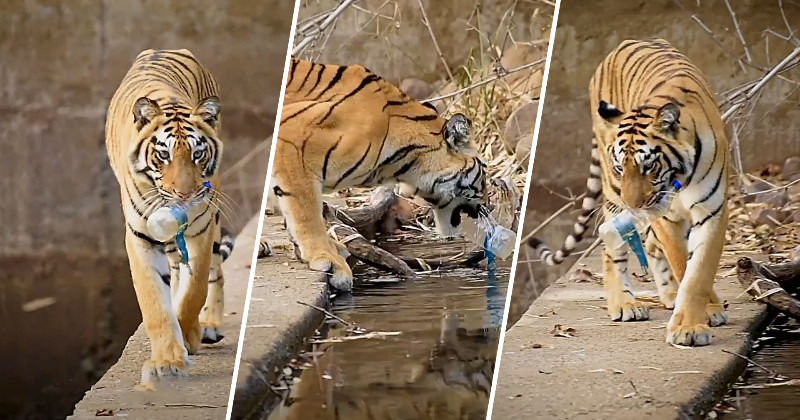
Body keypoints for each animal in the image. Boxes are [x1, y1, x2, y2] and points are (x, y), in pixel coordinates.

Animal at [105, 49, 234, 381]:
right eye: (163, 155)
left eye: (197, 154)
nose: (185, 195)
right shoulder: (140, 237)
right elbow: (154, 301)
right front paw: (167, 360)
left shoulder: (201, 230)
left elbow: (195, 289)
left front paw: (188, 336)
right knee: (176, 270)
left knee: (214, 272)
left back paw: (210, 325)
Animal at [528, 39, 729, 346]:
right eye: (621, 167)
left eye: (649, 166)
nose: (634, 204)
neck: (680, 177)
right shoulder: (664, 216)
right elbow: (683, 263)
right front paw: (692, 324)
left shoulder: (711, 210)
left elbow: (699, 272)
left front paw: (694, 321)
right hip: (612, 197)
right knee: (612, 247)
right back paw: (625, 304)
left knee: (651, 245)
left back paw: (669, 295)